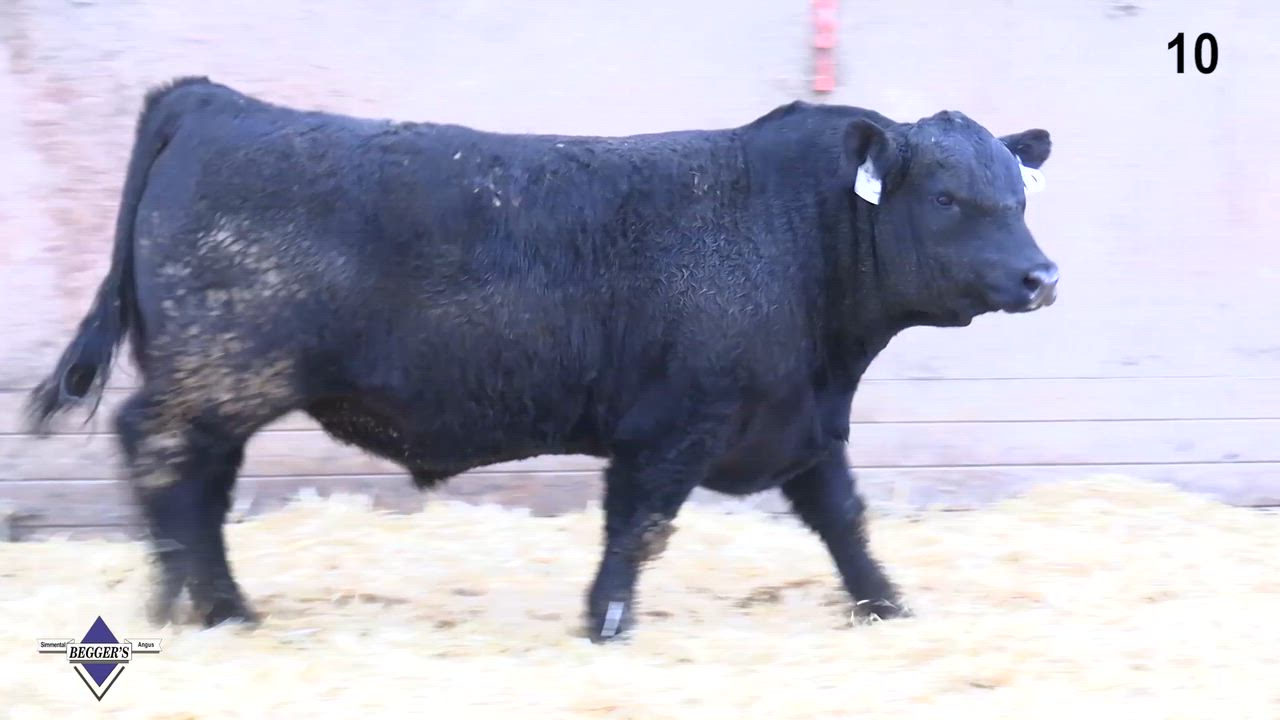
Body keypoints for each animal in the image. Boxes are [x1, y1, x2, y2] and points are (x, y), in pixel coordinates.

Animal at [28, 76, 1058, 643]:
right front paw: (605, 625)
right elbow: (636, 530)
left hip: (224, 388)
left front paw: (889, 608)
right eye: (948, 199)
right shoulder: (669, 431)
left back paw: (214, 606)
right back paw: (192, 602)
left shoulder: (799, 425)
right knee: (158, 455)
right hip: (219, 374)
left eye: (1018, 194)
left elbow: (845, 524)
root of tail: (211, 100)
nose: (1043, 275)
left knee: (196, 485)